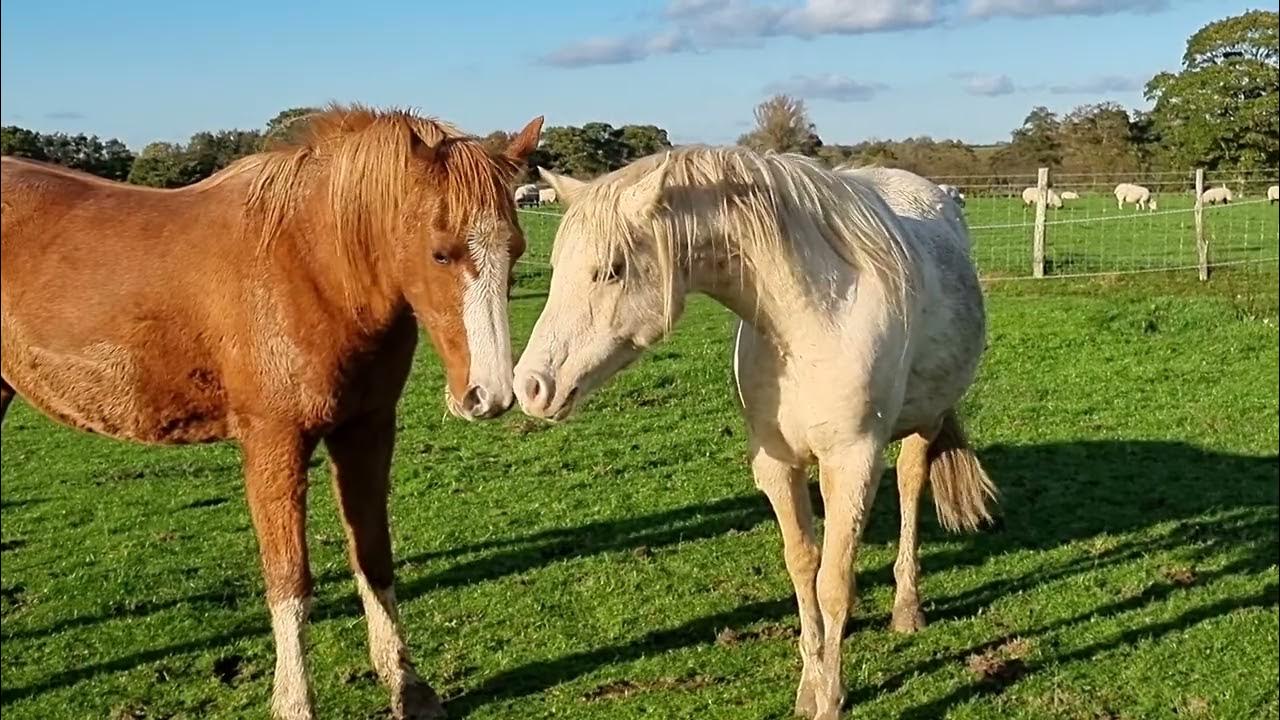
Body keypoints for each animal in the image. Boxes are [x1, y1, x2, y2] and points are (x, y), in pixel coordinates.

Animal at [0, 104, 543, 720]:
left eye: (515, 250)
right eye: (440, 252)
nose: (490, 395)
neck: (308, 265)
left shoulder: (367, 431)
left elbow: (374, 558)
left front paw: (409, 688)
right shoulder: (274, 443)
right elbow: (289, 582)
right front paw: (294, 701)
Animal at [514, 147, 995, 720]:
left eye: (610, 270)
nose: (530, 386)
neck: (814, 320)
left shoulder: (852, 462)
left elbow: (835, 584)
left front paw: (831, 699)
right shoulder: (777, 464)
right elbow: (803, 567)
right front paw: (809, 688)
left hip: (926, 422)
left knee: (909, 485)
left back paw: (907, 608)